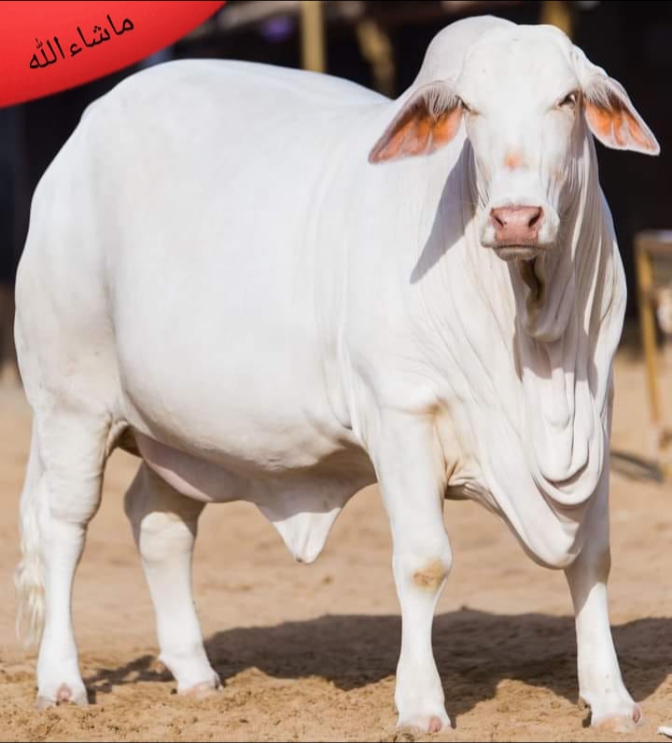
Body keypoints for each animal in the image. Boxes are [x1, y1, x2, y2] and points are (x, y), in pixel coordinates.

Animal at [14, 15, 659, 734]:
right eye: (468, 108)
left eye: (568, 100)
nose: (515, 217)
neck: (534, 335)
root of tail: (81, 136)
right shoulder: (402, 414)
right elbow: (425, 561)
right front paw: (421, 705)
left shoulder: (596, 416)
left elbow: (592, 557)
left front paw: (611, 699)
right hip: (70, 400)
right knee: (63, 524)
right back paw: (61, 680)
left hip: (177, 430)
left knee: (159, 523)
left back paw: (195, 673)